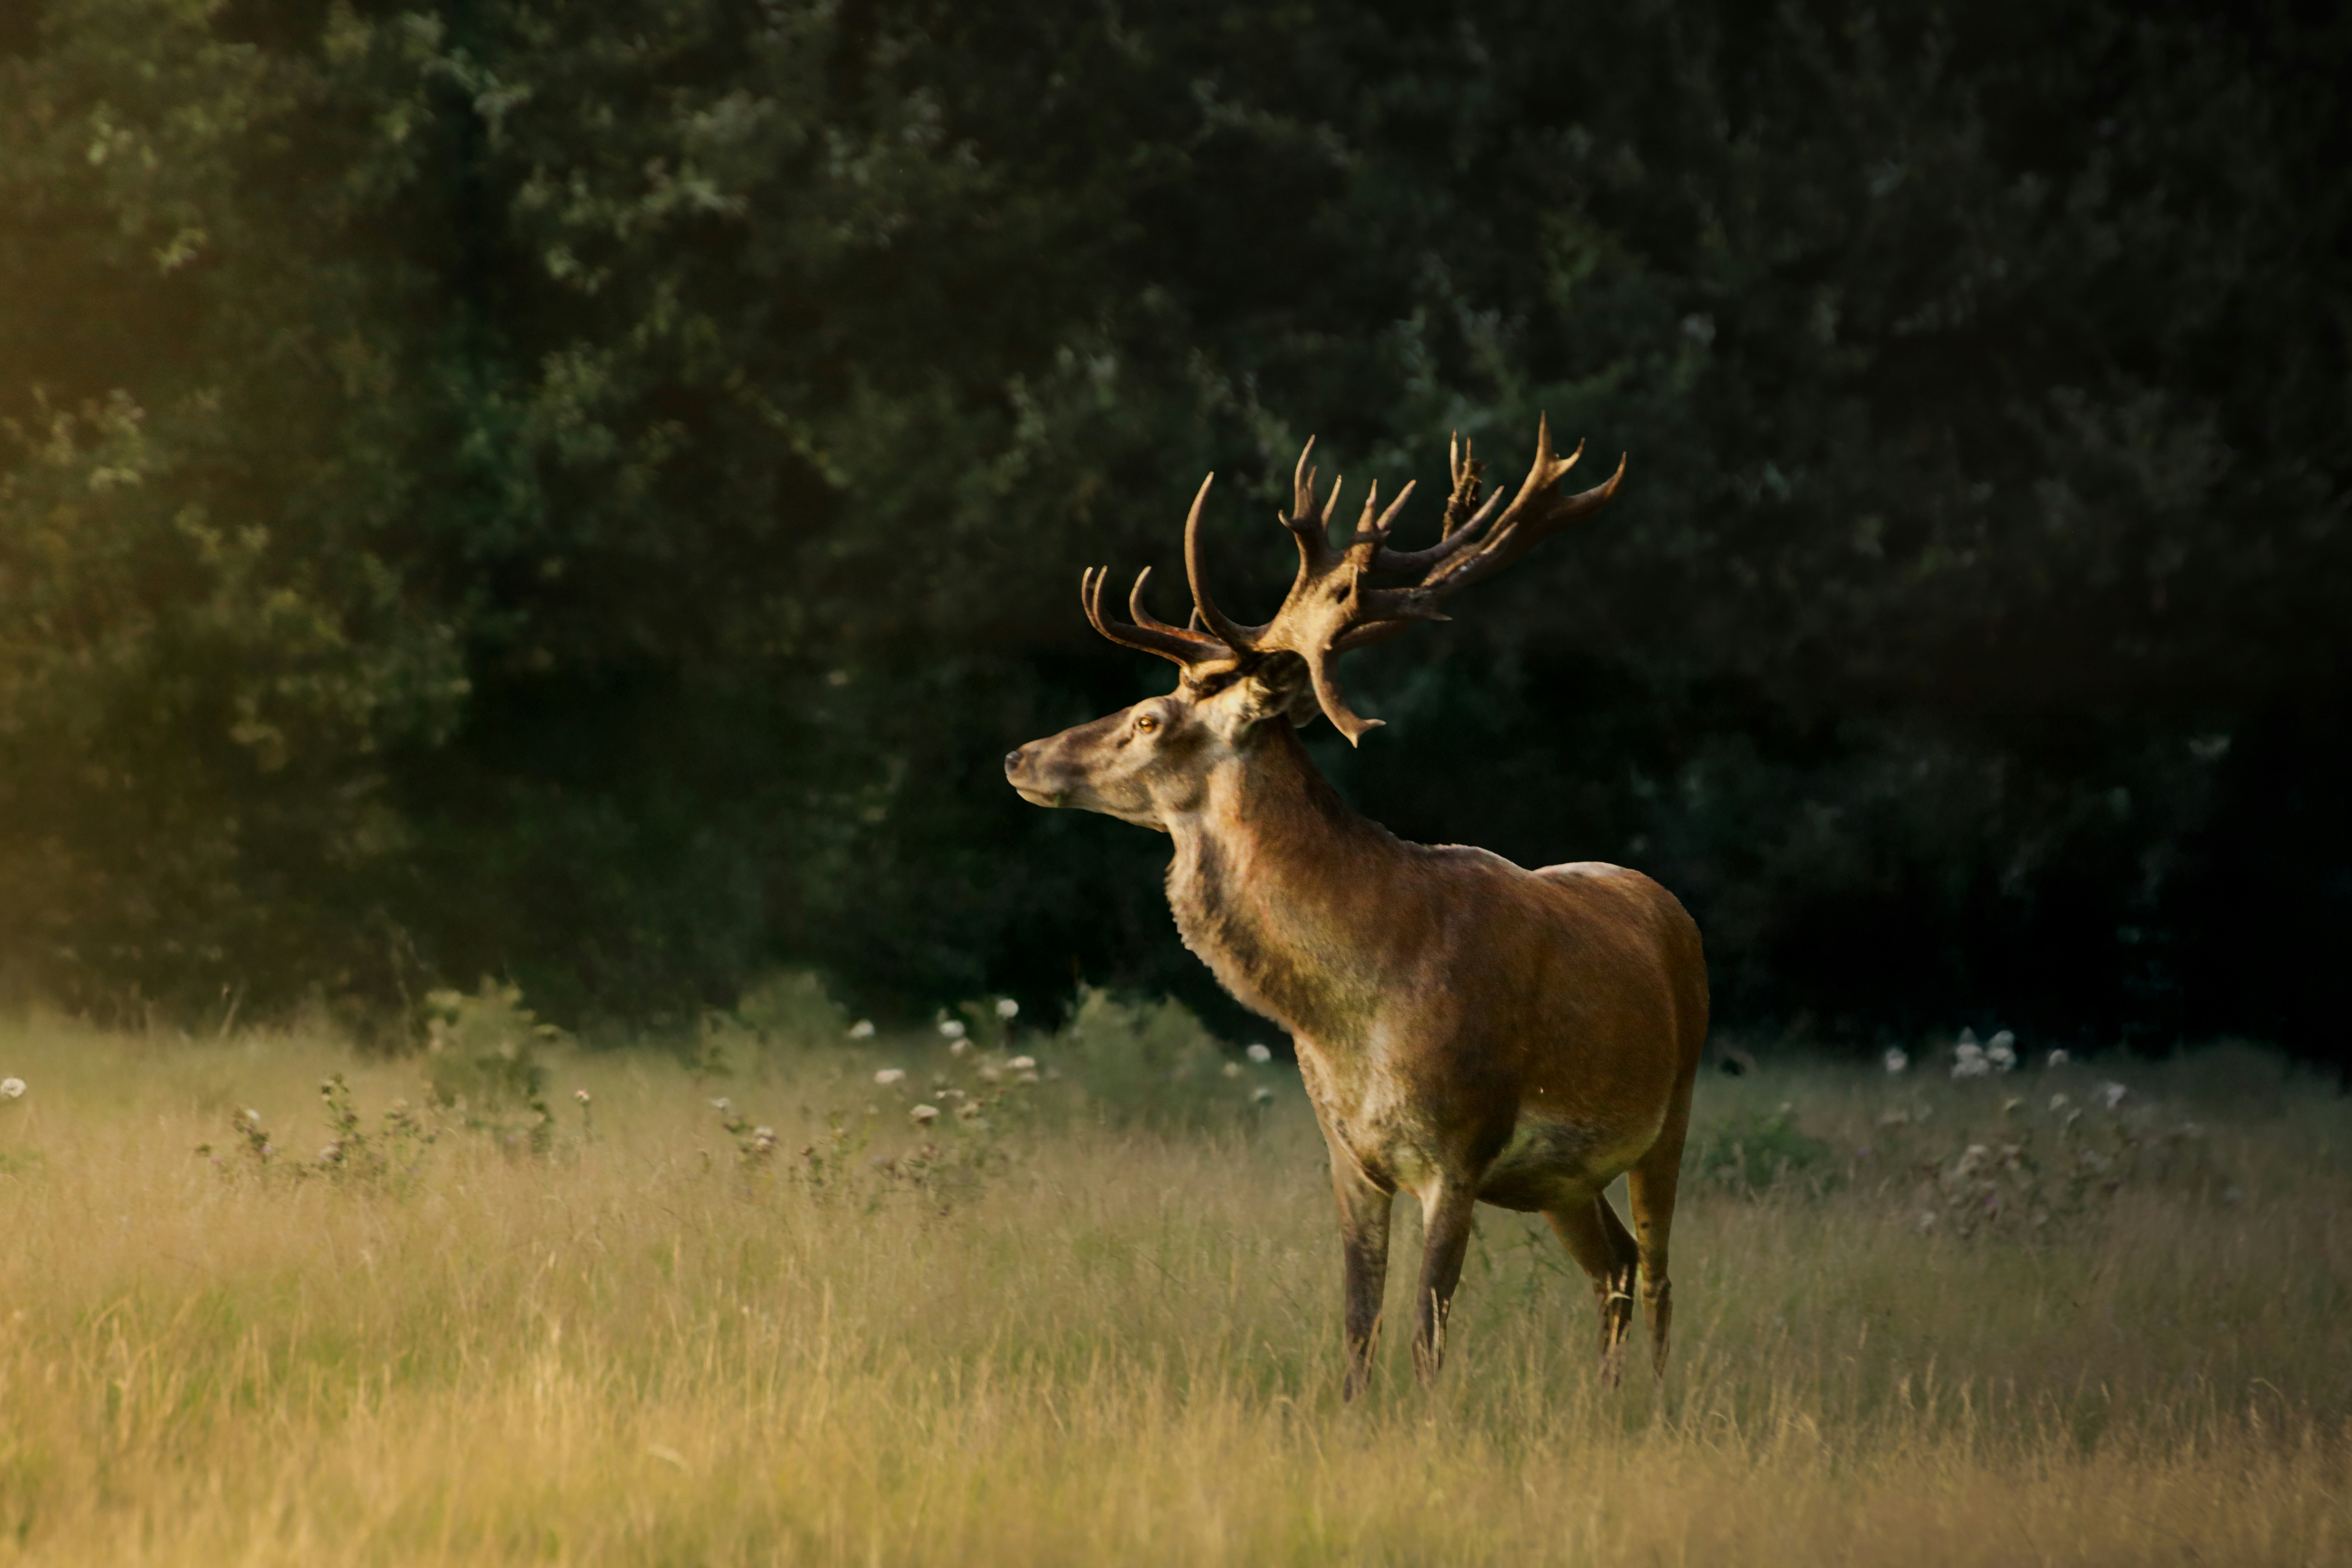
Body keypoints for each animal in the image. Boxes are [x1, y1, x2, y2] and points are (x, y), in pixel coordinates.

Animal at [1003, 421, 1708, 1399]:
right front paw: (1351, 1414)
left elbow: (1424, 1330)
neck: (1352, 1010)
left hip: (1671, 1108)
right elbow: (1357, 1320)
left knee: (1661, 1271)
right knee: (1613, 1265)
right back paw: (1603, 1404)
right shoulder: (1347, 1155)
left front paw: (1425, 1421)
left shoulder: (1460, 1146)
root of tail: (1664, 901)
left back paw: (1655, 1403)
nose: (1019, 756)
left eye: (1148, 719)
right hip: (1561, 1177)